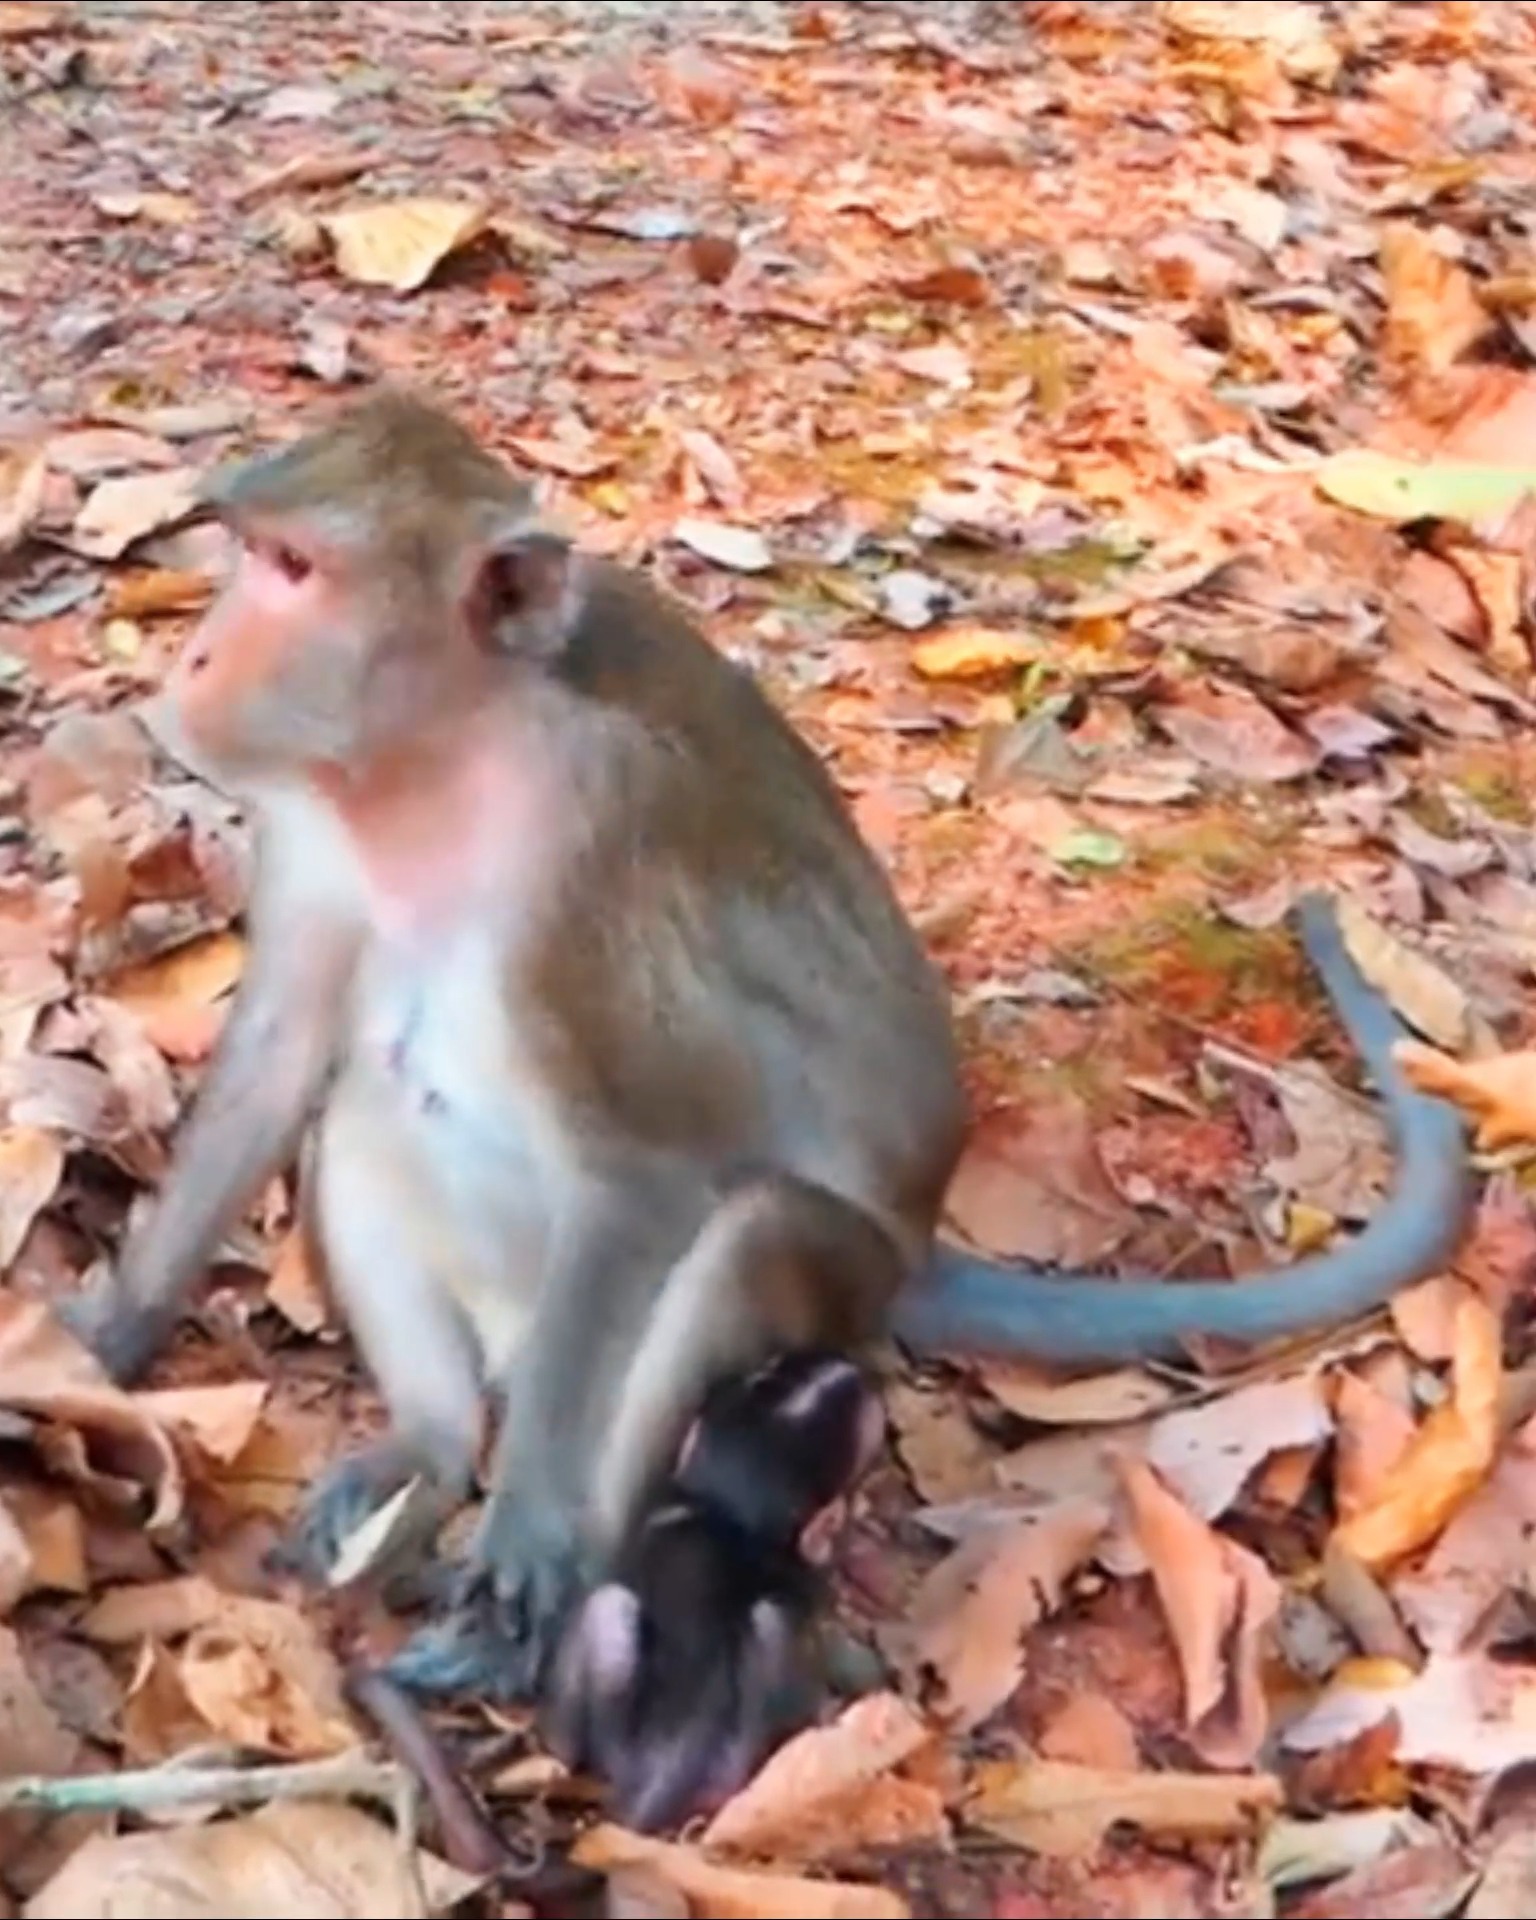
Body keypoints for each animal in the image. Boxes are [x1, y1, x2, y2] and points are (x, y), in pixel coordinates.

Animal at [52, 385, 1474, 1721]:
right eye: (249, 552)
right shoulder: (310, 812)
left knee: (743, 1234)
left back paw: (565, 1560)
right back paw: (435, 1444)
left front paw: (530, 1539)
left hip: (824, 1285)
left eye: (294, 571)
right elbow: (283, 1052)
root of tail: (918, 1250)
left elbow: (647, 1169)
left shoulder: (596, 858)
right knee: (363, 1111)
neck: (452, 750)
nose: (195, 655)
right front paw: (102, 1338)